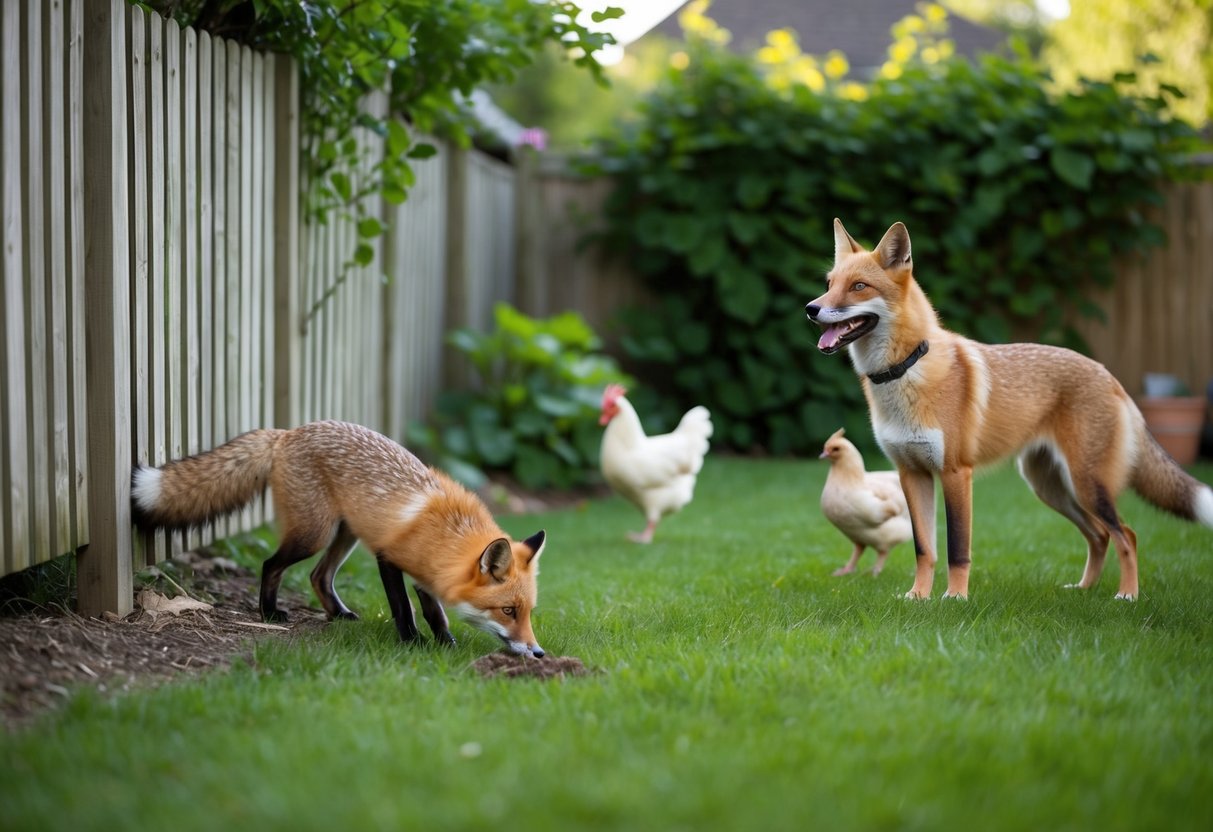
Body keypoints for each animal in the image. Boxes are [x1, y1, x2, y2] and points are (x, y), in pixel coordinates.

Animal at [131, 420, 547, 655]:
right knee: (271, 564)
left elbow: (436, 612)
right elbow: (403, 607)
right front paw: (414, 644)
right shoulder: (387, 557)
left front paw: (445, 644)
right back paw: (269, 612)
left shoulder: (427, 574)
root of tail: (288, 432)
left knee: (319, 576)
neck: (445, 533)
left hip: (345, 535)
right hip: (314, 534)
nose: (538, 652)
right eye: (508, 611)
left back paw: (338, 614)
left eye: (528, 612)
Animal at [805, 219, 1213, 601]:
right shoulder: (911, 473)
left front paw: (955, 598)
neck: (905, 370)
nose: (811, 309)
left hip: (1086, 484)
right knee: (1099, 536)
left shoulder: (955, 473)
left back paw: (1127, 595)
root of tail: (1108, 375)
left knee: (1126, 534)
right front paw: (918, 596)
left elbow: (957, 548)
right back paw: (1084, 590)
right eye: (829, 283)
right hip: (1051, 488)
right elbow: (925, 549)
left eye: (859, 286)